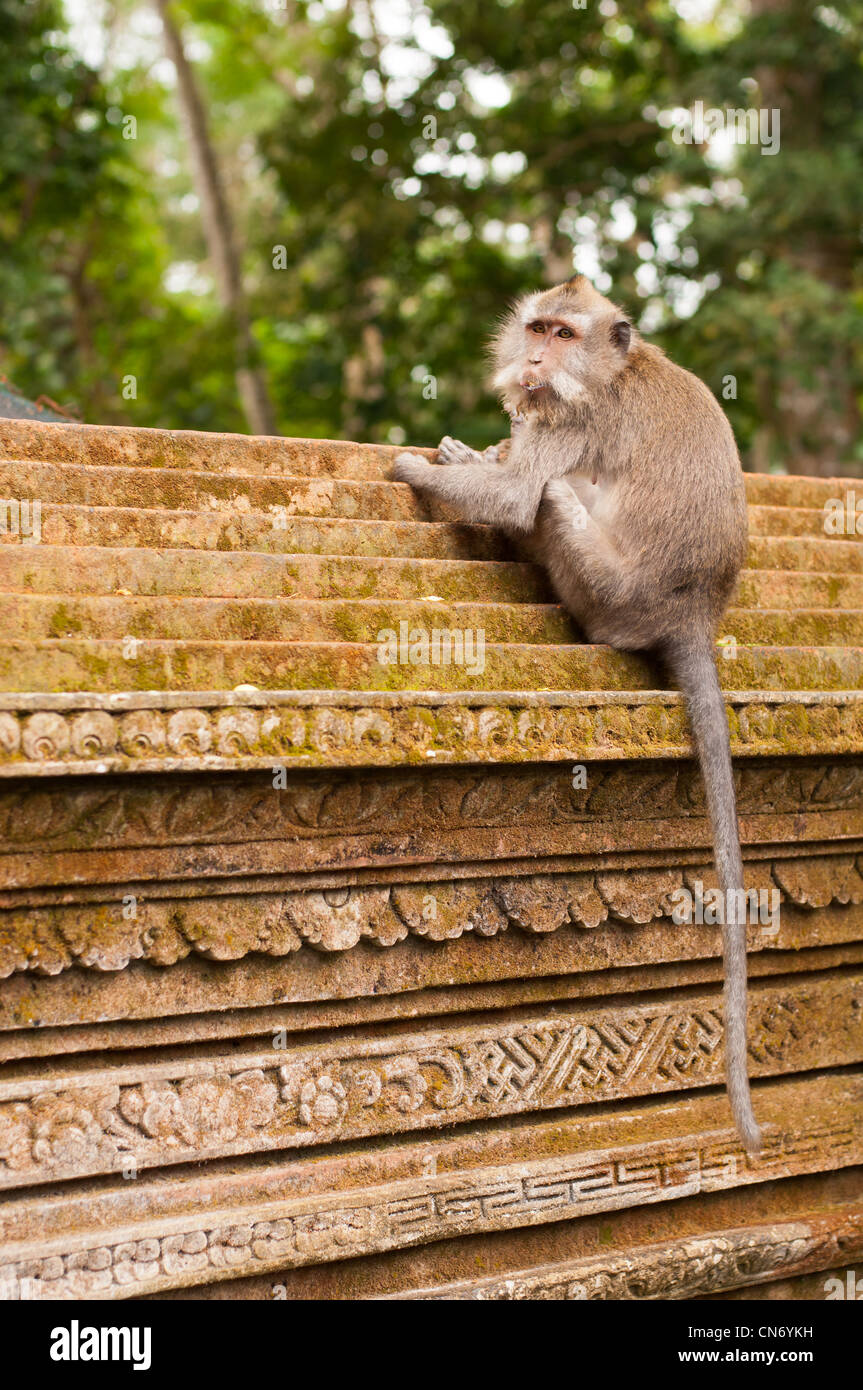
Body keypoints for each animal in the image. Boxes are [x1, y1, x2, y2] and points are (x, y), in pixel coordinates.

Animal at [393, 273, 761, 1153]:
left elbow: (516, 491)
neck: (607, 372)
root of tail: (691, 613)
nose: (532, 362)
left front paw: (419, 465)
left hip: (603, 589)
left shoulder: (567, 419)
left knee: (550, 497)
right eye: (536, 328)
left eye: (562, 335)